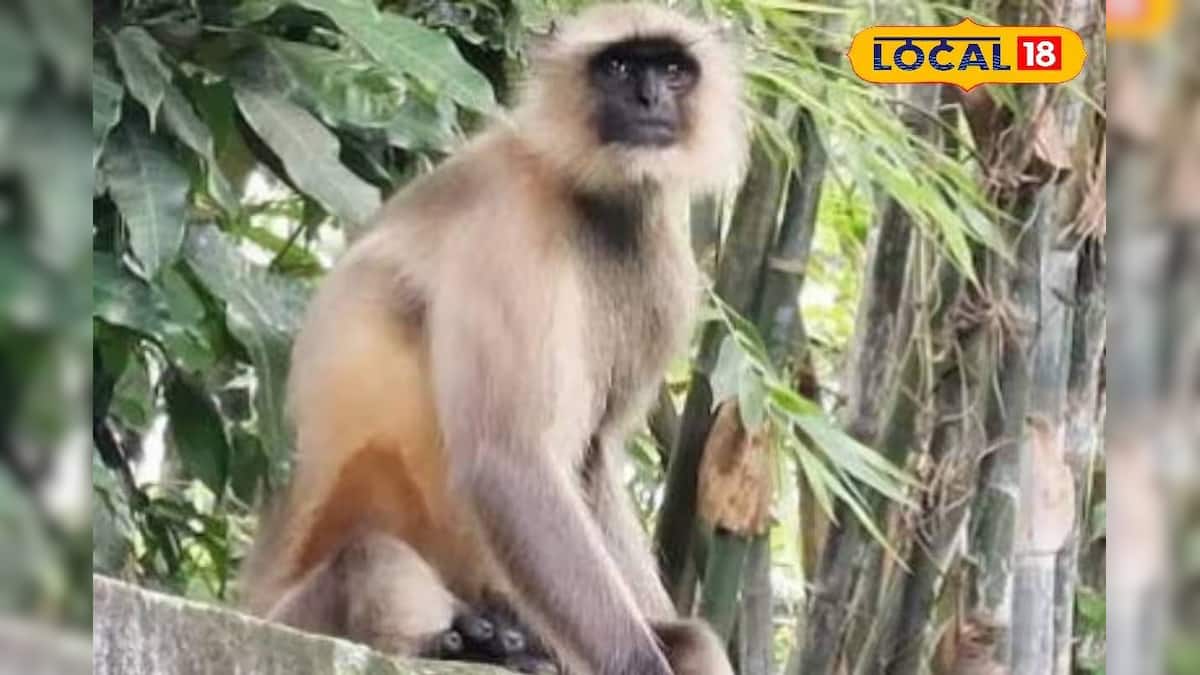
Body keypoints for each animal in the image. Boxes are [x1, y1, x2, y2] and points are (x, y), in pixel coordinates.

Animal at [240, 4, 746, 674]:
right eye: (616, 66)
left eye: (672, 69)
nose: (648, 97)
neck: (587, 196)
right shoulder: (510, 220)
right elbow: (504, 458)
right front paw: (637, 661)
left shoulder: (657, 255)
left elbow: (592, 454)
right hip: (296, 612)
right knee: (372, 558)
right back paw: (473, 642)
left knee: (690, 638)